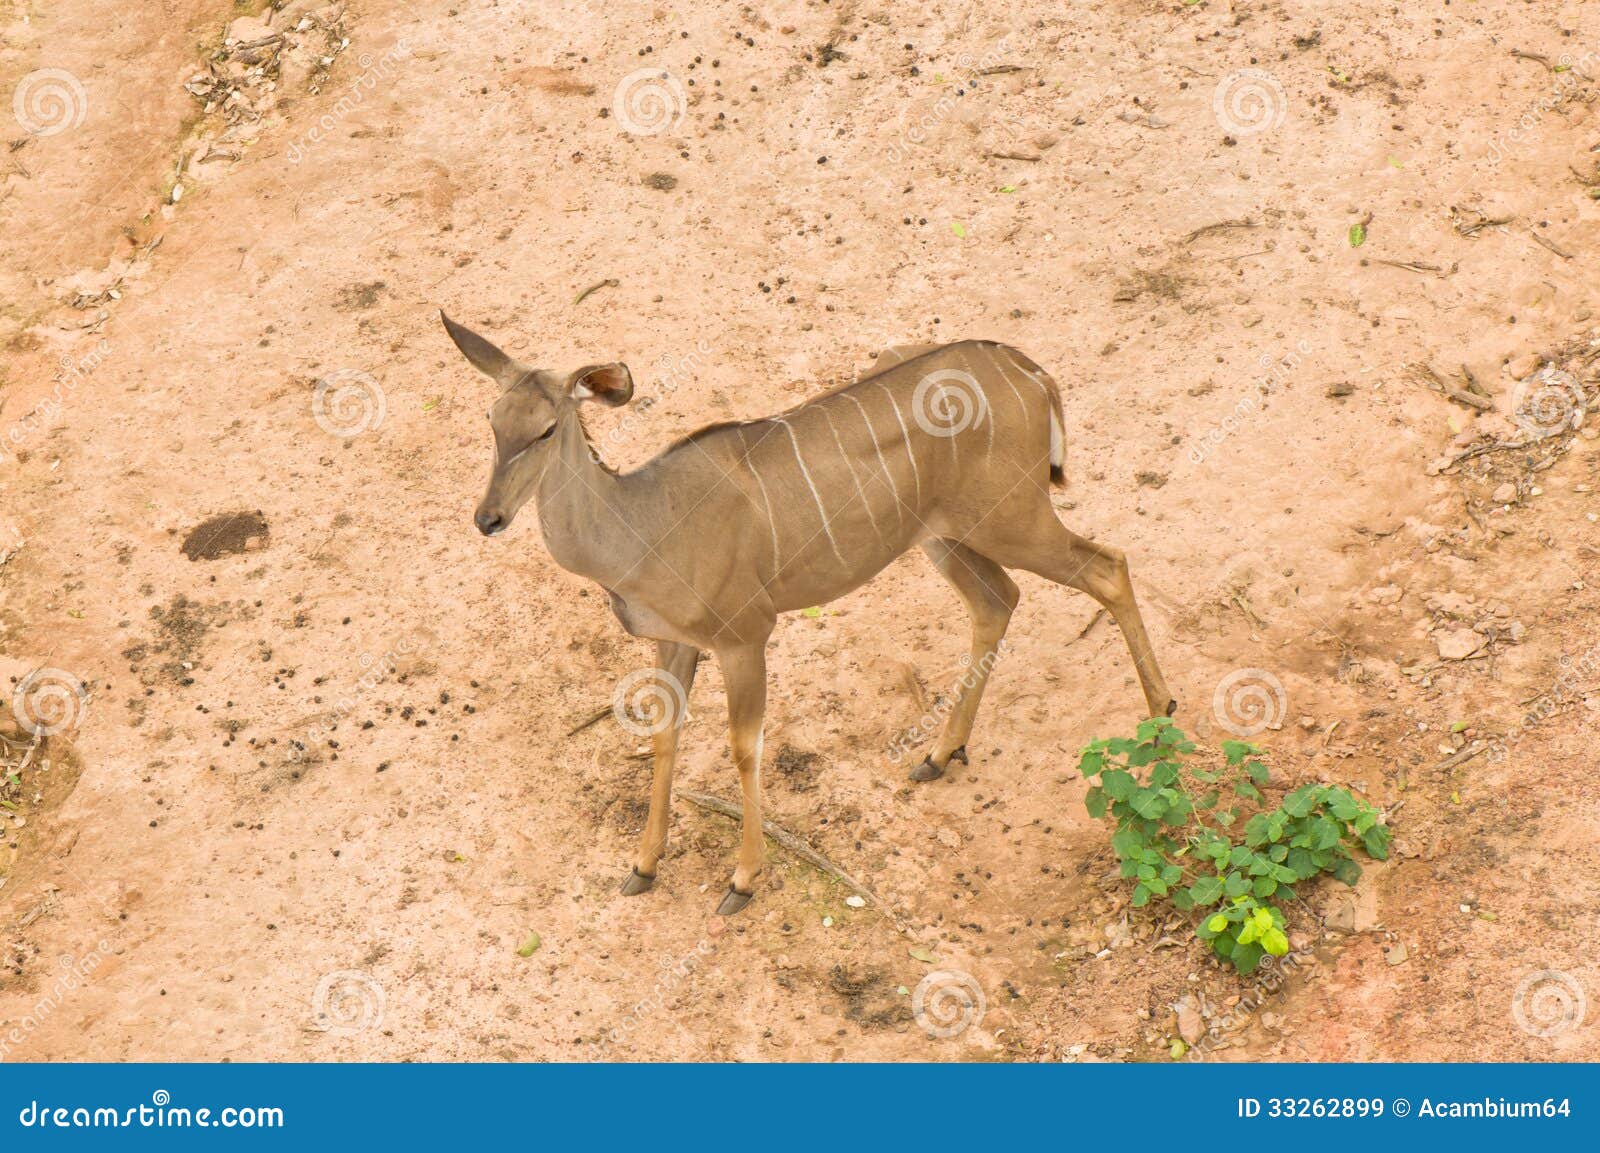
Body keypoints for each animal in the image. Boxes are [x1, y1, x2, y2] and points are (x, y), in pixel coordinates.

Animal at [443, 314, 1176, 915]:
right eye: (490, 421)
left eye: (545, 428)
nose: (489, 518)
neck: (645, 525)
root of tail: (1028, 370)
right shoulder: (673, 644)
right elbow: (664, 737)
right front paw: (643, 866)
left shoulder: (744, 636)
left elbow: (744, 747)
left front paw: (742, 880)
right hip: (946, 537)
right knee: (998, 601)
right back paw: (940, 753)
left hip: (1013, 519)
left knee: (1108, 566)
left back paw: (1162, 718)